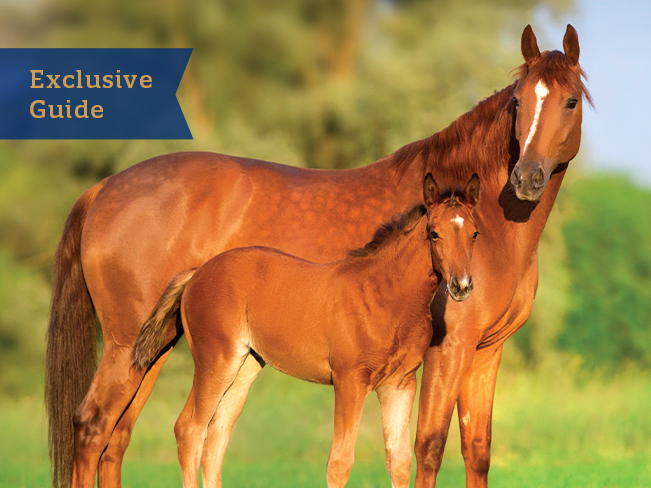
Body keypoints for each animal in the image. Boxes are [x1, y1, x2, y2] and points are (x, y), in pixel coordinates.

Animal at [131, 173, 481, 488]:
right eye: (434, 233)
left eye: (475, 233)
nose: (461, 286)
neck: (384, 296)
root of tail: (196, 273)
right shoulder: (349, 382)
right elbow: (340, 463)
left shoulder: (400, 384)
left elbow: (399, 462)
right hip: (216, 361)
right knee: (190, 431)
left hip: (245, 367)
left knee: (217, 436)